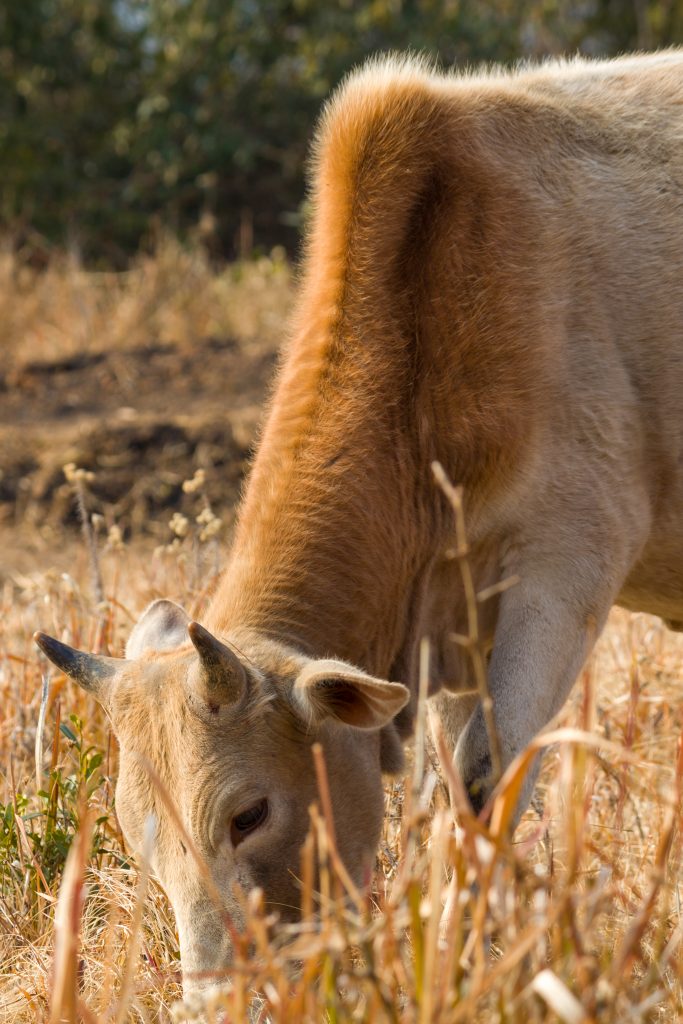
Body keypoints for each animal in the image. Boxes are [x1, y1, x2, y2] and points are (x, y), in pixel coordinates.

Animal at [35, 51, 683, 992]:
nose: (223, 995)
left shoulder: (562, 573)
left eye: (249, 813)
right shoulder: (455, 636)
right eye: (139, 839)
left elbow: (481, 784)